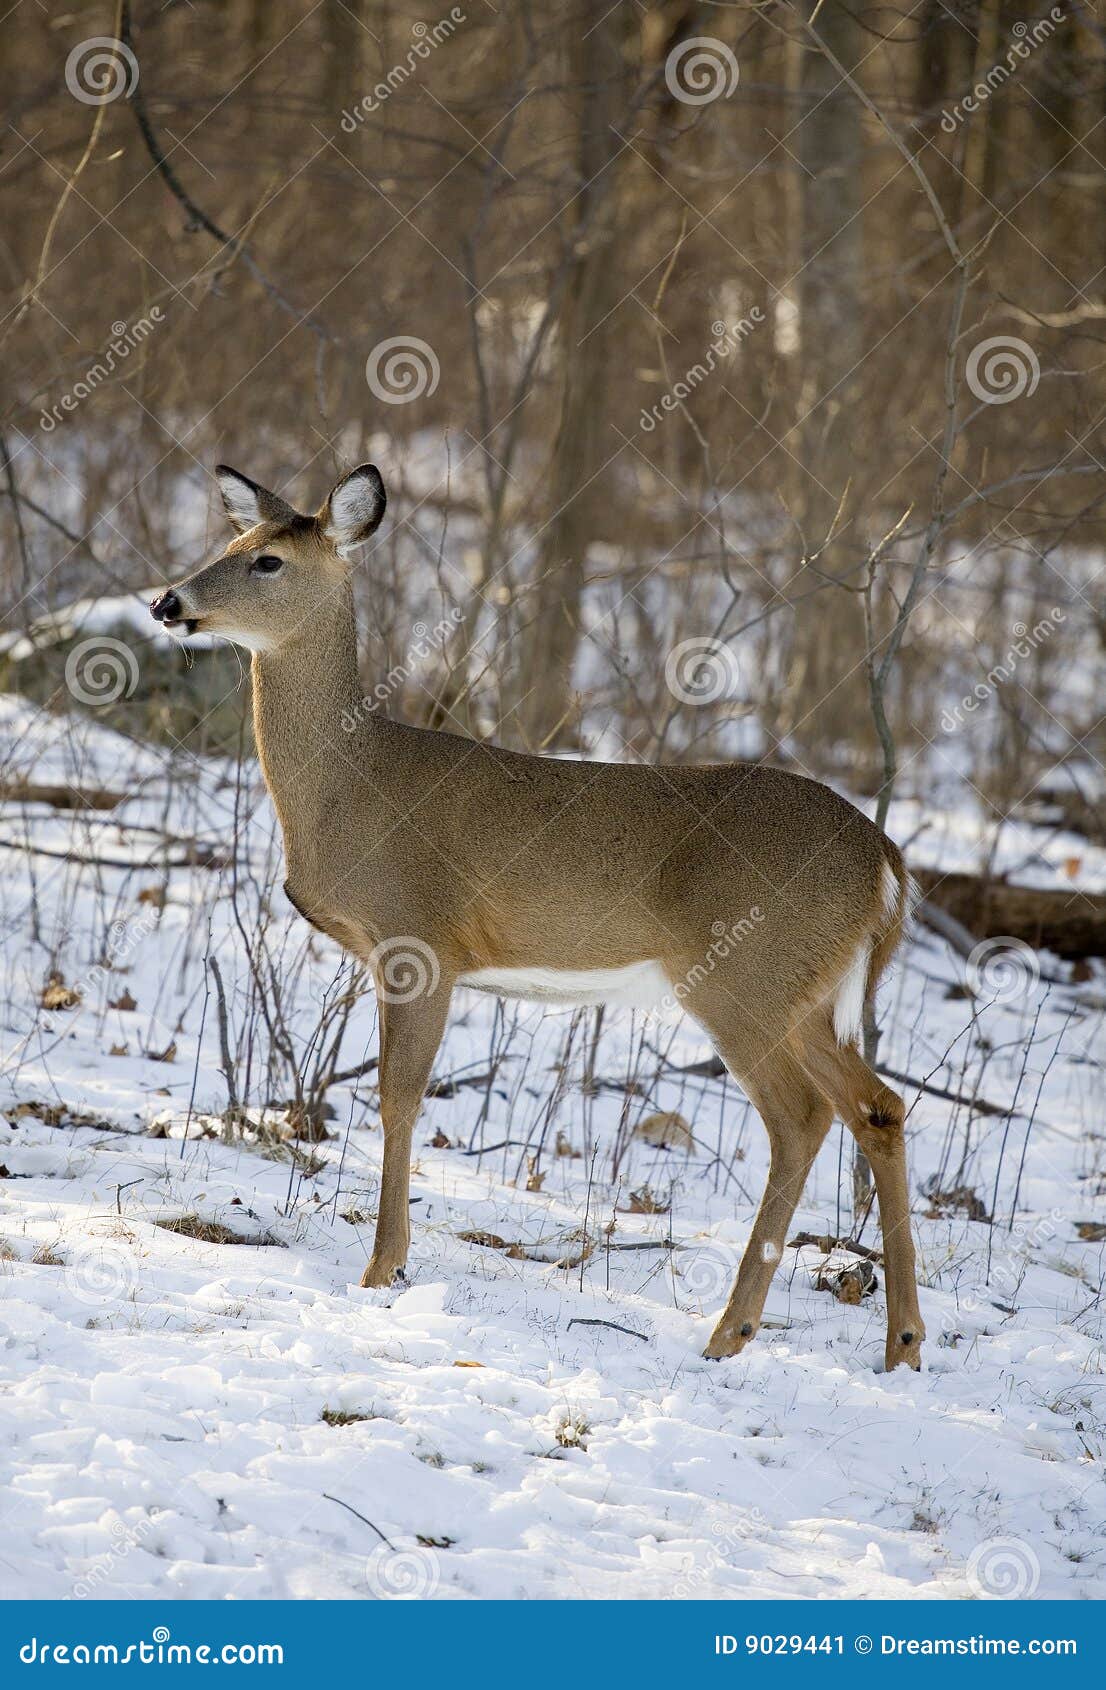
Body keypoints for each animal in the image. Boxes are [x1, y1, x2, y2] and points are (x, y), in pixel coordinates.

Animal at [149, 462, 925, 1371]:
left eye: (267, 560)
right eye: (231, 540)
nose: (166, 601)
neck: (348, 785)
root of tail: (887, 861)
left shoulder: (420, 939)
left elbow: (398, 1097)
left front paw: (383, 1268)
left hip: (744, 975)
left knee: (800, 1120)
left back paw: (730, 1331)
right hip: (809, 994)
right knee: (879, 1108)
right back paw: (903, 1343)